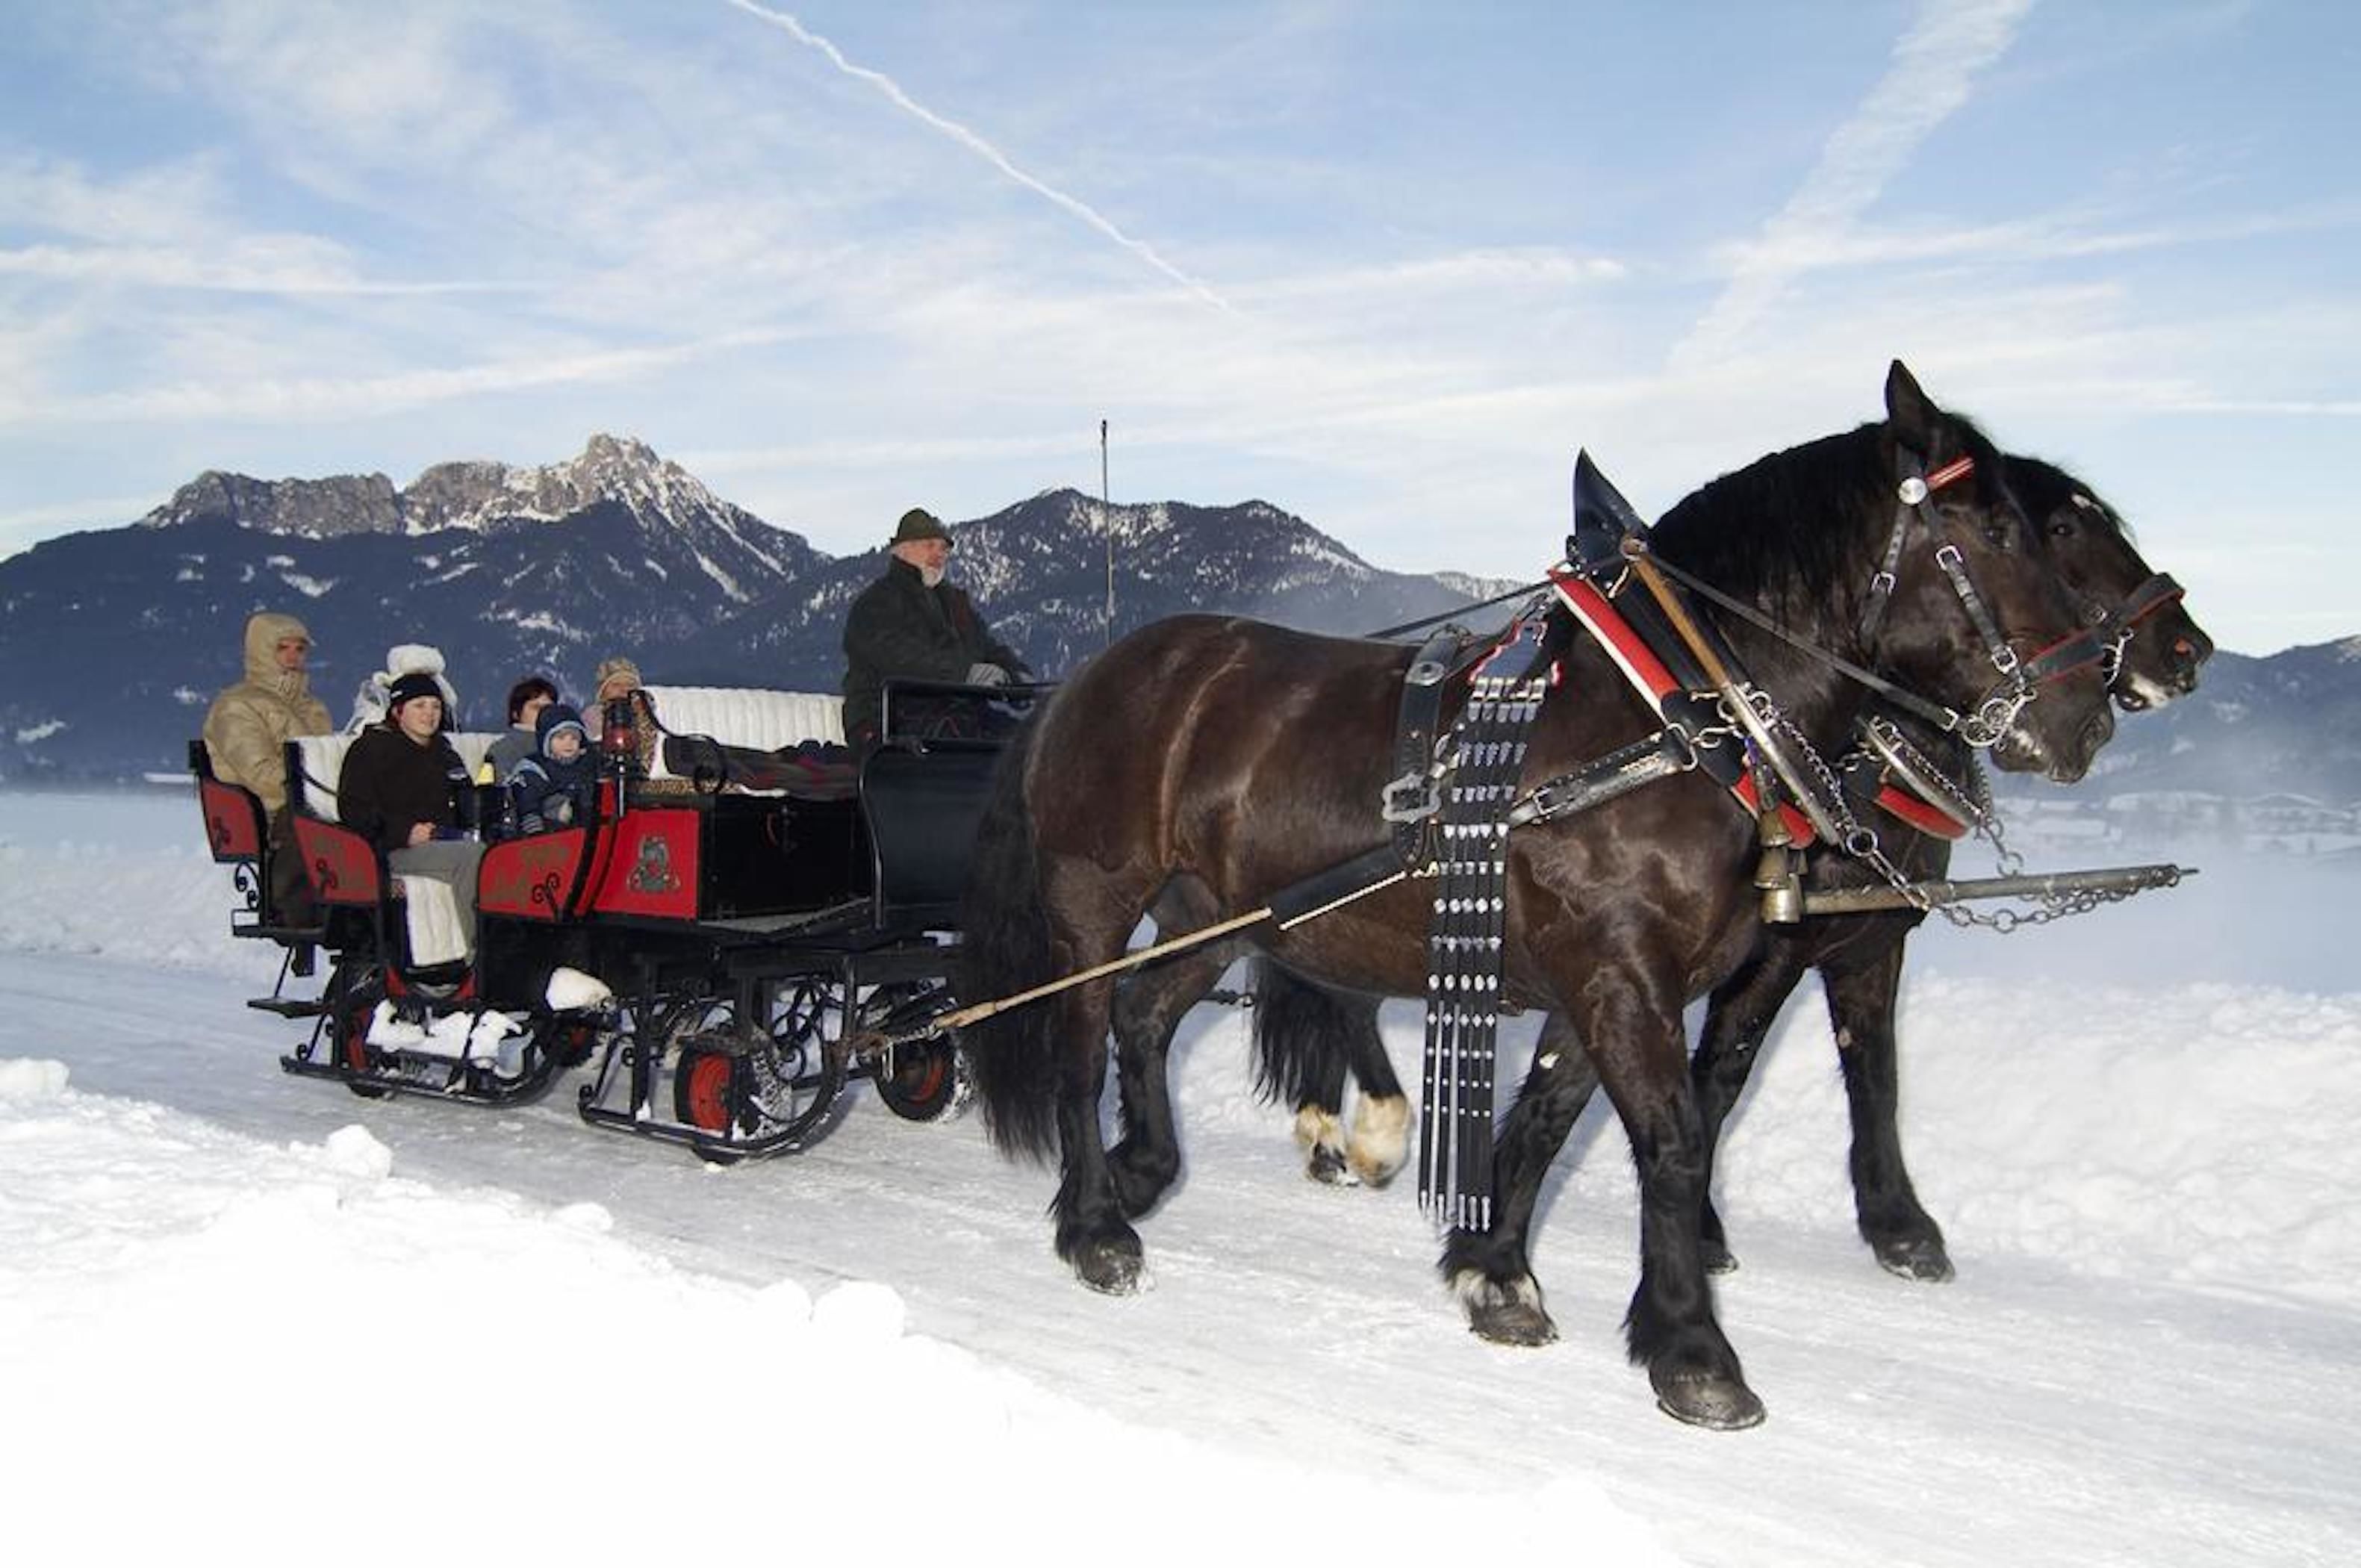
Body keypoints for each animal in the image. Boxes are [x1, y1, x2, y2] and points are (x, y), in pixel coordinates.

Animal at [1254, 456, 2213, 1292]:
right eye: (2058, 528)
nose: (2186, 648)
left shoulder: (1870, 936)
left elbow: (1875, 1070)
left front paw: (1900, 1228)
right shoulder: (1762, 949)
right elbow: (1721, 1073)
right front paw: (1706, 1232)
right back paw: (1367, 1132)